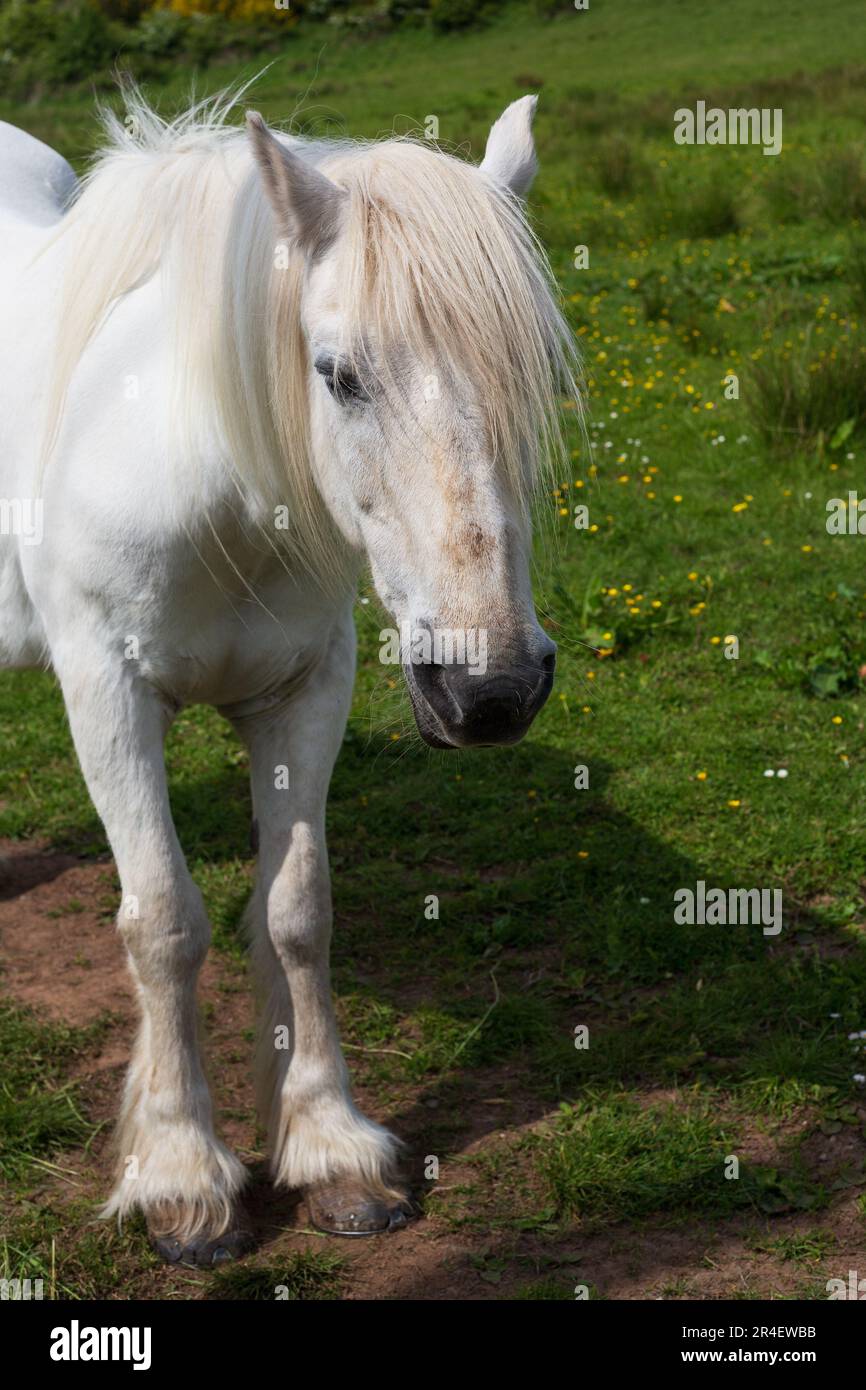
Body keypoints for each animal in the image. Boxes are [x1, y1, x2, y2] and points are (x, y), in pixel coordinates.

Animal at [0, 87, 578, 1265]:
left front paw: (328, 1150)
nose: (490, 688)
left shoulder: (306, 691)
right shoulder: (106, 693)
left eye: (530, 373)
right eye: (337, 374)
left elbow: (297, 908)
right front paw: (181, 1174)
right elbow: (163, 923)